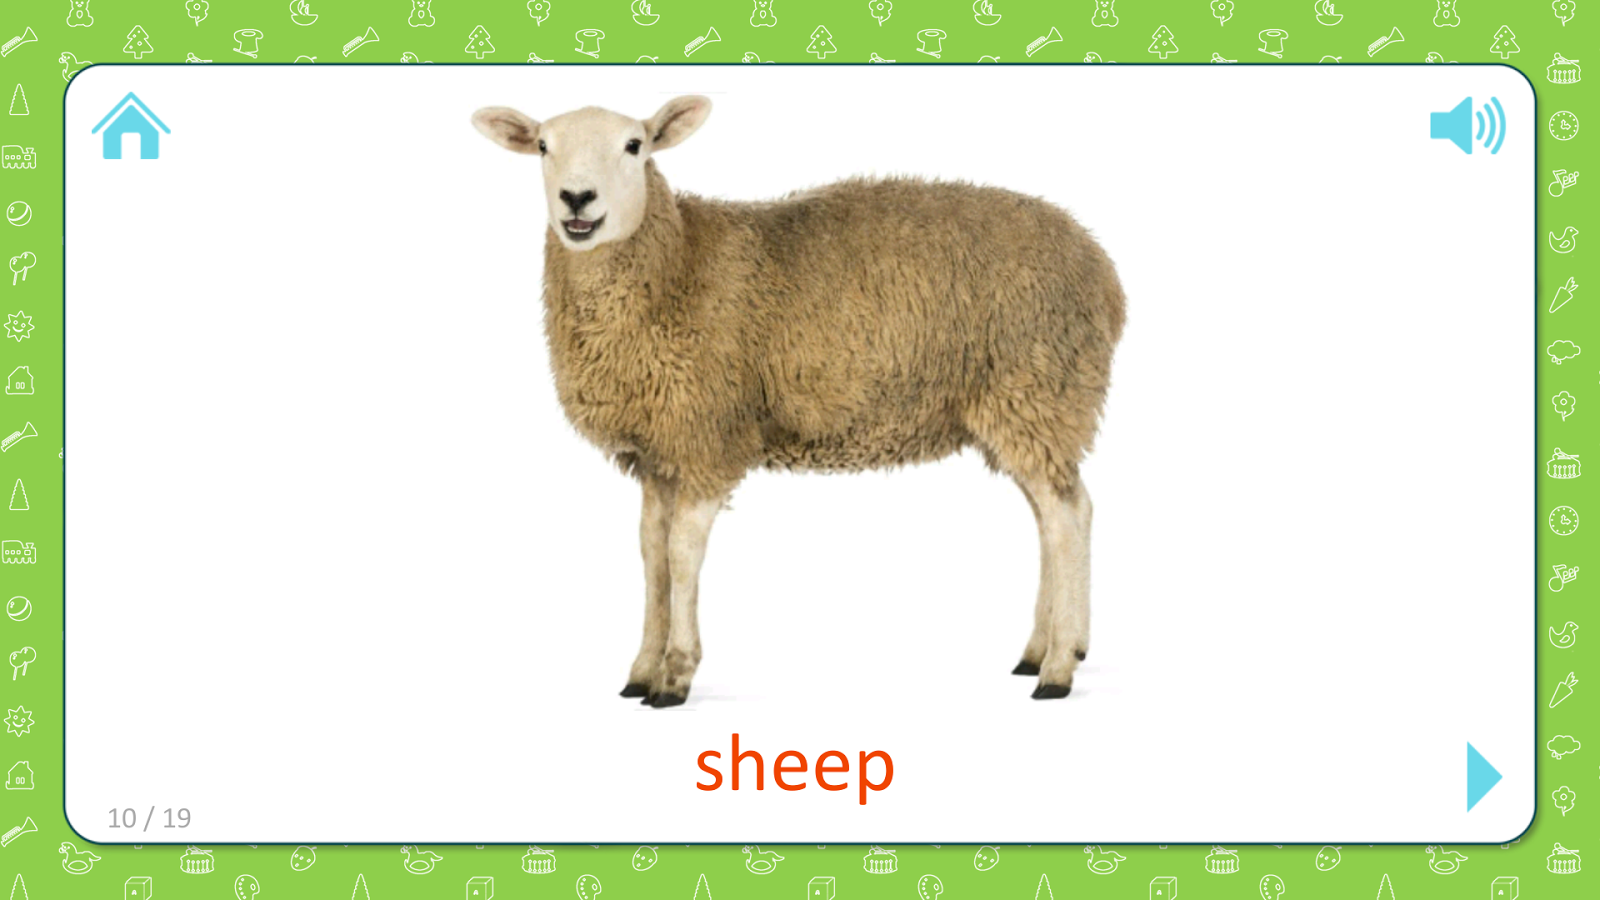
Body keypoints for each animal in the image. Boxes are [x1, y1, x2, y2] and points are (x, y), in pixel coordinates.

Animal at [471, 95, 1125, 707]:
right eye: (543, 146)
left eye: (635, 146)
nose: (577, 199)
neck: (678, 262)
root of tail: (1102, 269)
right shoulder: (659, 450)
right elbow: (651, 555)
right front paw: (640, 669)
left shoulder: (710, 433)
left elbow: (682, 554)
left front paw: (675, 675)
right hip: (1022, 408)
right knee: (1051, 518)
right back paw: (1042, 650)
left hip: (1039, 387)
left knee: (1069, 516)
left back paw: (1059, 668)